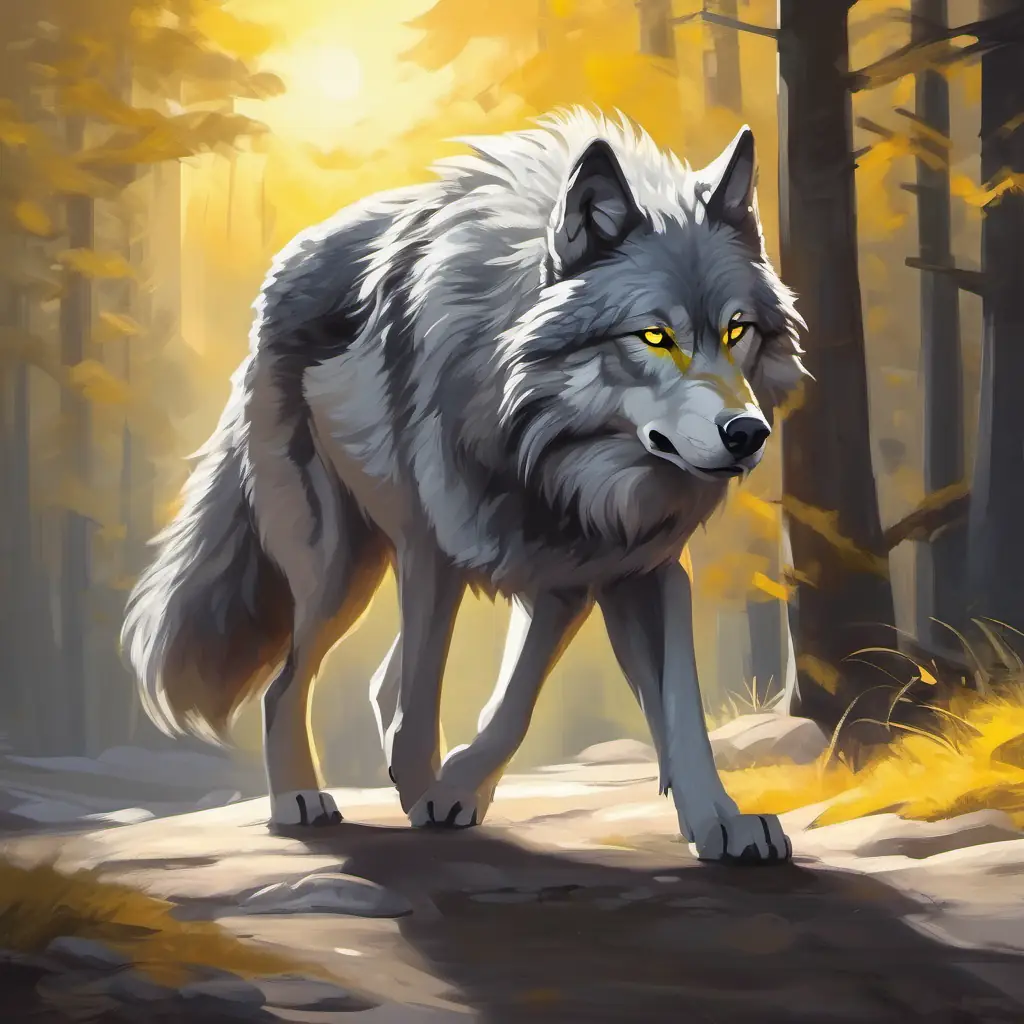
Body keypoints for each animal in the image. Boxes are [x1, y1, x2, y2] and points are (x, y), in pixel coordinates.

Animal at [121, 107, 807, 863]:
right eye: (655, 336)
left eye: (737, 330)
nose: (746, 433)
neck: (556, 459)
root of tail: (288, 260)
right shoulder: (439, 551)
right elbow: (430, 696)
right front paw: (435, 792)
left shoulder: (623, 568)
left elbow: (643, 702)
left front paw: (722, 822)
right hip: (338, 567)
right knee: (289, 685)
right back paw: (299, 798)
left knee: (381, 681)